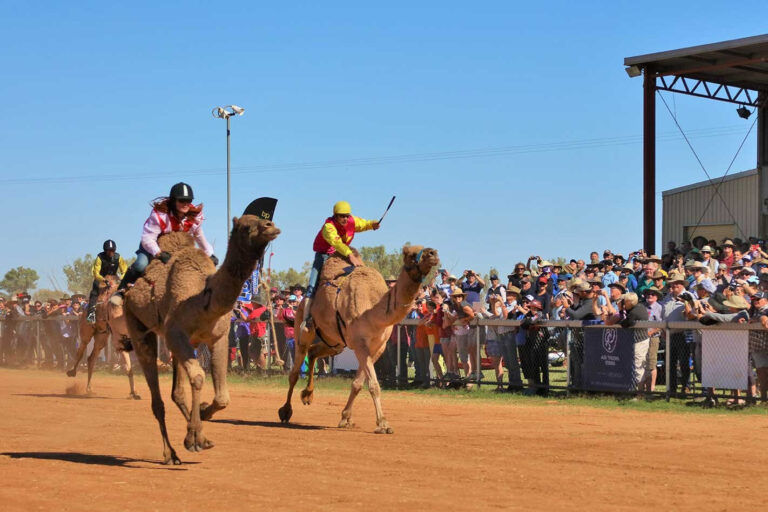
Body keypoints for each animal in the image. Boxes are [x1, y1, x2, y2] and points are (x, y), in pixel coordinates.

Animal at [121, 215, 280, 464]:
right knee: (157, 400)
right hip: (138, 328)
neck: (204, 299)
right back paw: (171, 453)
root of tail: (127, 293)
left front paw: (203, 416)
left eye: (264, 221)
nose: (270, 227)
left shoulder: (219, 338)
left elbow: (222, 396)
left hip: (183, 343)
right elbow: (197, 377)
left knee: (176, 392)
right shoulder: (175, 332)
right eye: (246, 227)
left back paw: (200, 438)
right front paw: (192, 437)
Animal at [278, 245, 439, 433]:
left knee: (313, 353)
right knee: (296, 369)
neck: (373, 311)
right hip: (302, 329)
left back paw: (308, 395)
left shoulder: (378, 347)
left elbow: (358, 383)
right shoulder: (360, 345)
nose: (433, 254)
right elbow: (373, 385)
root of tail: (301, 303)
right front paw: (383, 424)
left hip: (335, 342)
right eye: (411, 254)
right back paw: (285, 411)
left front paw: (346, 418)